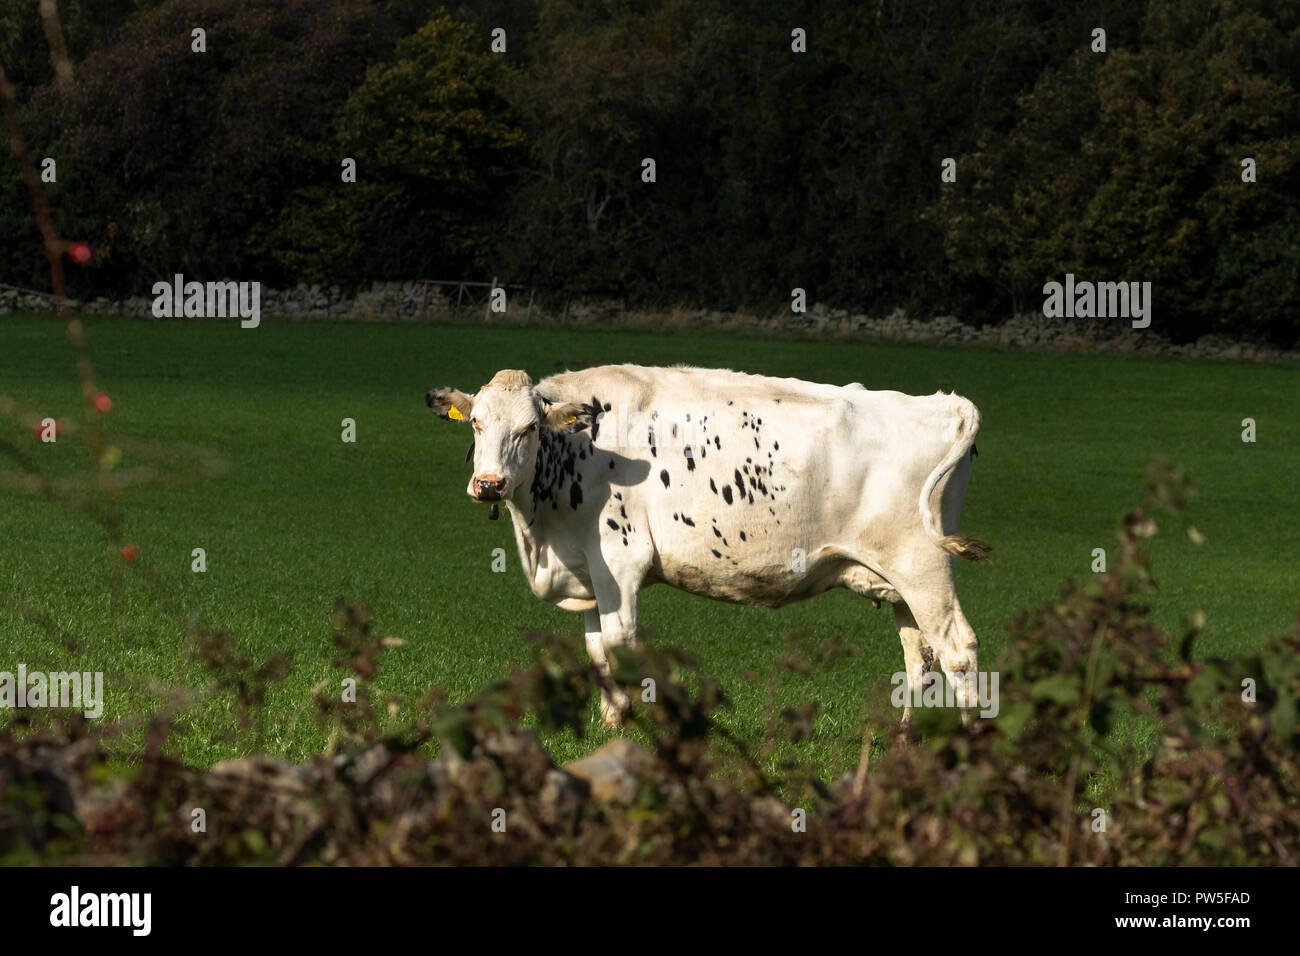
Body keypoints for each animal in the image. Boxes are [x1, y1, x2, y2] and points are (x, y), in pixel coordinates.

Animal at [426, 365, 990, 730]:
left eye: (528, 429)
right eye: (477, 422)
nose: (490, 484)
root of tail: (942, 402)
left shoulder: (620, 563)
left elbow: (620, 644)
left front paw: (628, 724)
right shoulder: (587, 567)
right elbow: (596, 649)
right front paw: (609, 719)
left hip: (922, 564)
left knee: (957, 650)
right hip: (898, 580)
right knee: (919, 655)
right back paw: (906, 740)